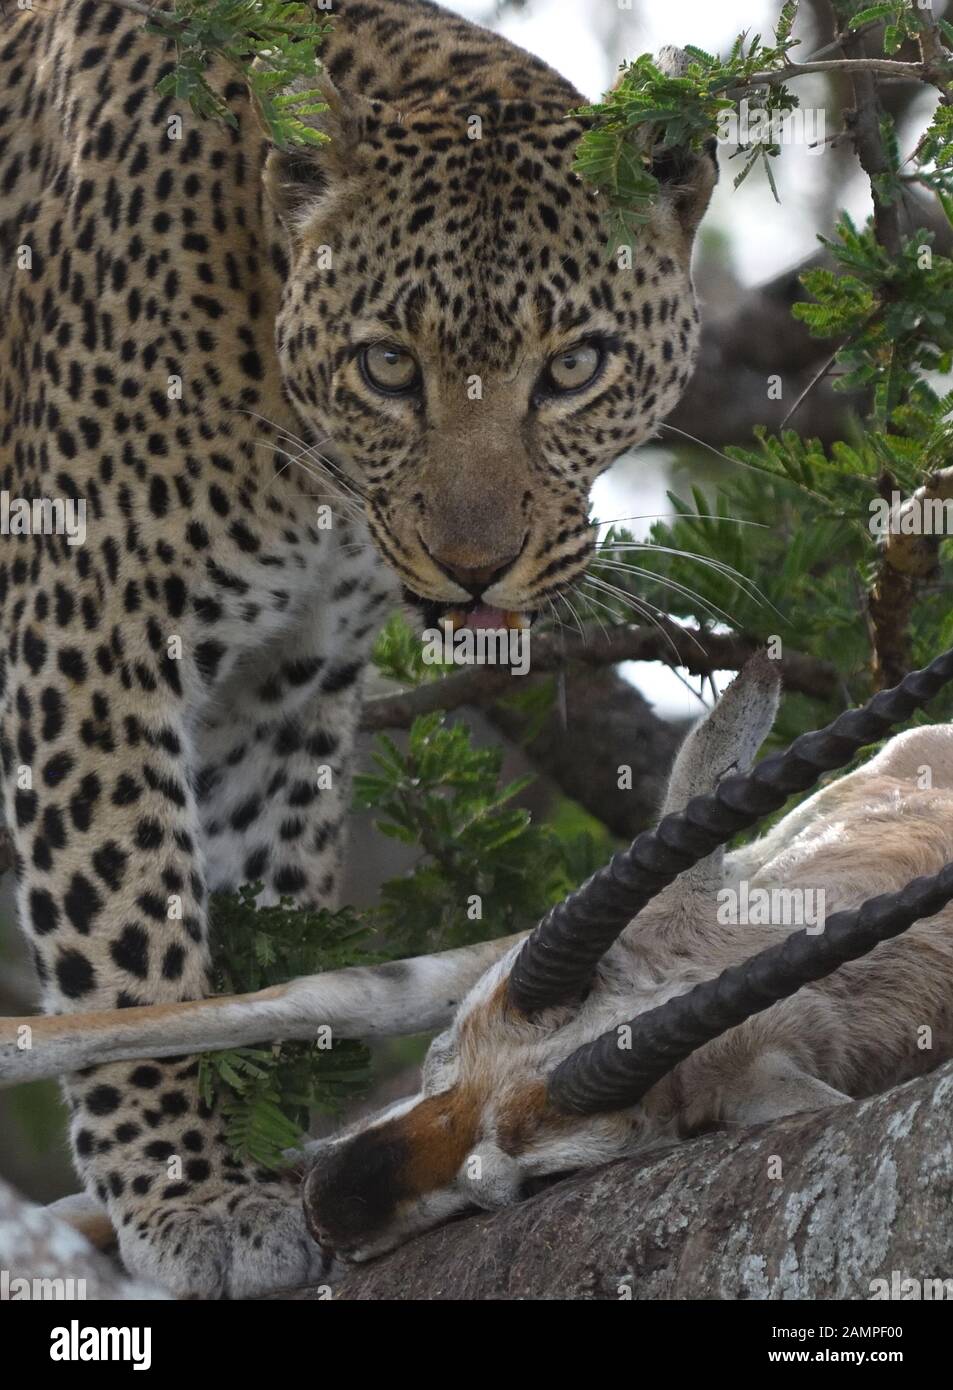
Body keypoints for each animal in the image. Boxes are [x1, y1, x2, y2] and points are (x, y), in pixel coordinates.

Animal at [0, 0, 716, 1296]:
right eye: (388, 366)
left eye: (573, 366)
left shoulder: (281, 680)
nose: (475, 565)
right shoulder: (90, 626)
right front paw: (184, 1189)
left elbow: (251, 899)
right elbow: (126, 918)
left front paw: (265, 1150)